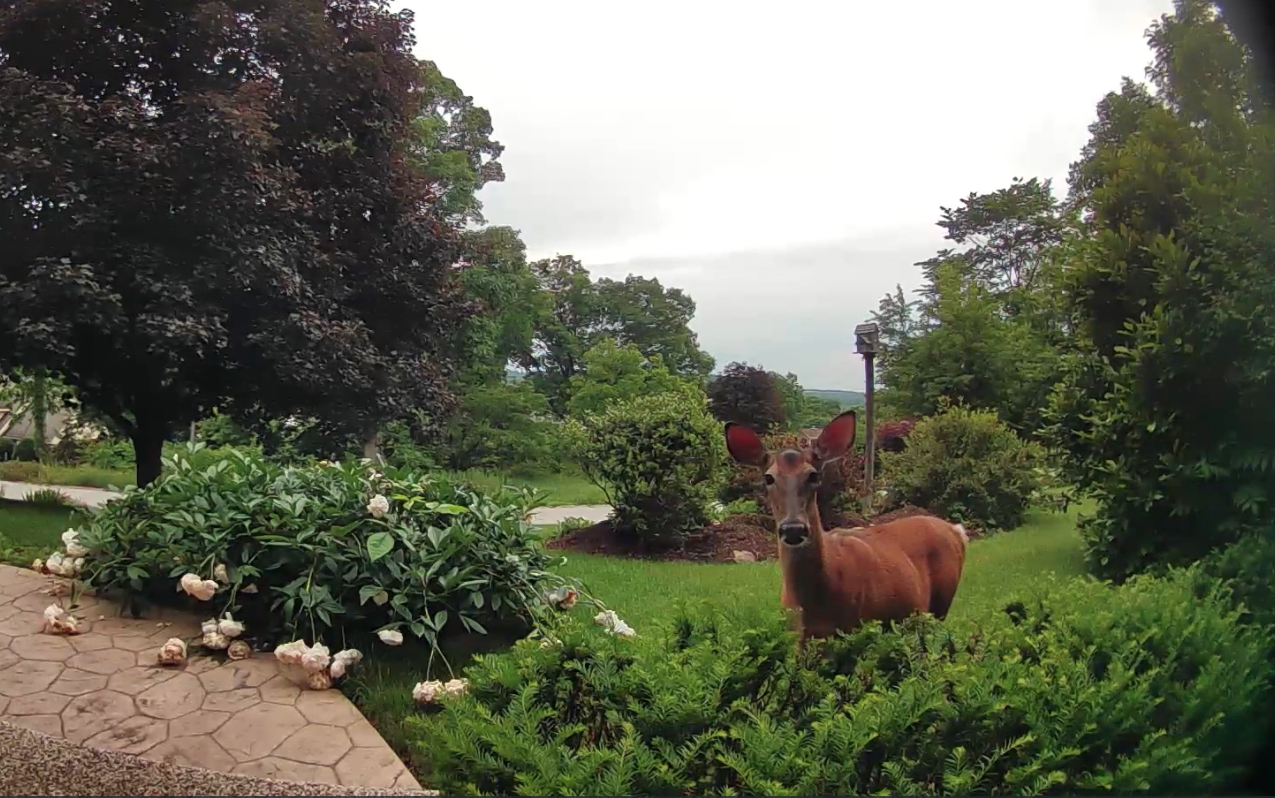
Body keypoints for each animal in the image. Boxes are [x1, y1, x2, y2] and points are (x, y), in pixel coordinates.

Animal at [724, 410, 968, 652]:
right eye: (768, 477)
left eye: (813, 475)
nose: (793, 528)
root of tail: (956, 530)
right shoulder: (797, 639)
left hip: (941, 601)